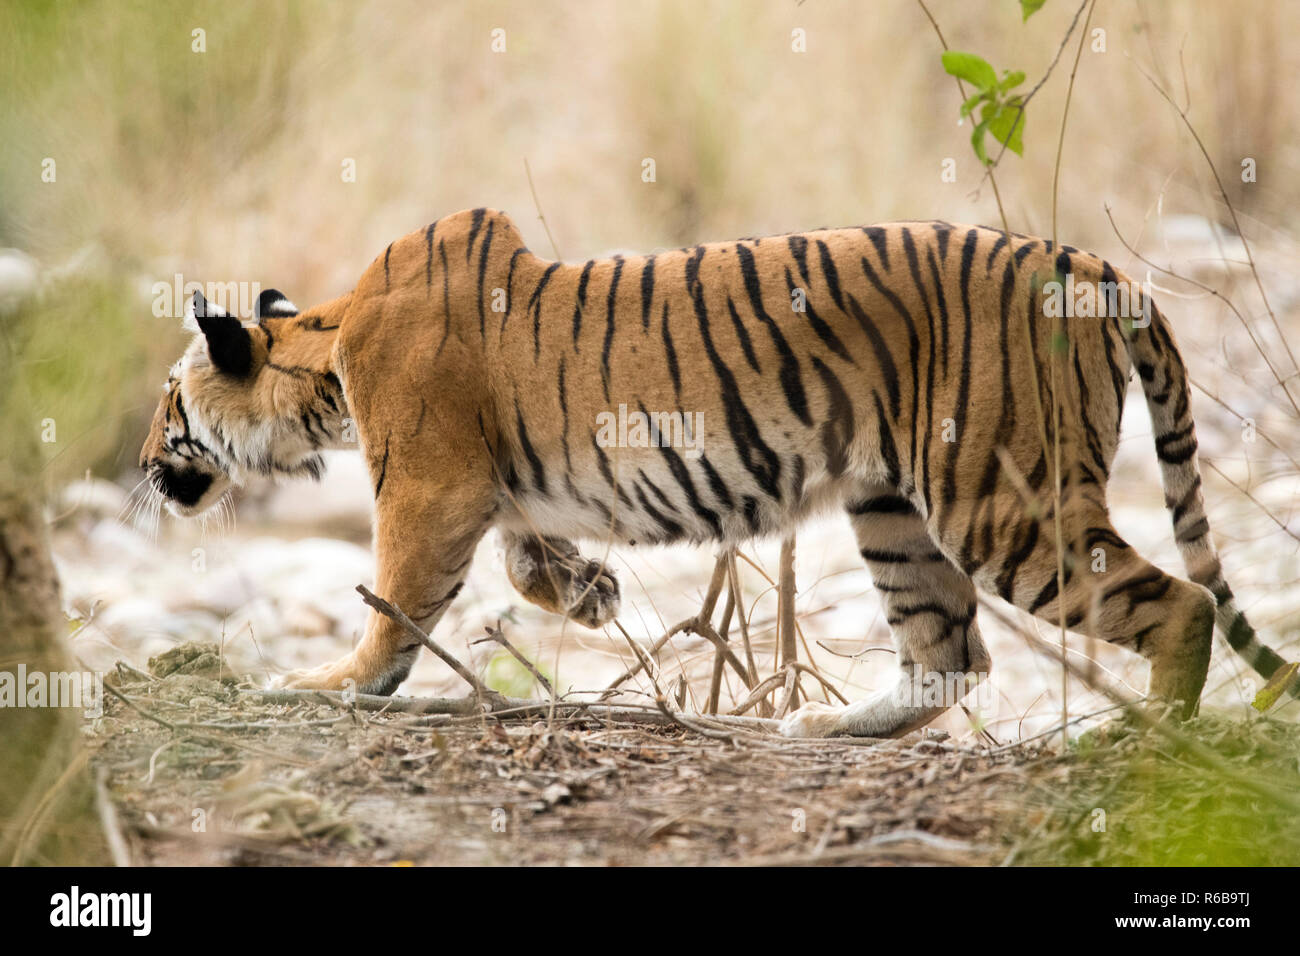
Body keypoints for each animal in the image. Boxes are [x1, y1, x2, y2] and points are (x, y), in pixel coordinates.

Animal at [138, 207, 1294, 738]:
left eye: (164, 406)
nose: (146, 467)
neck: (324, 357)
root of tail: (1095, 266)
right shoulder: (490, 485)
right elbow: (522, 557)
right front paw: (590, 594)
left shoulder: (425, 489)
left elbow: (397, 602)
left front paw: (335, 683)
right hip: (893, 507)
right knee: (949, 653)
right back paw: (824, 724)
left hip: (1002, 501)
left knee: (1181, 603)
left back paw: (1151, 748)